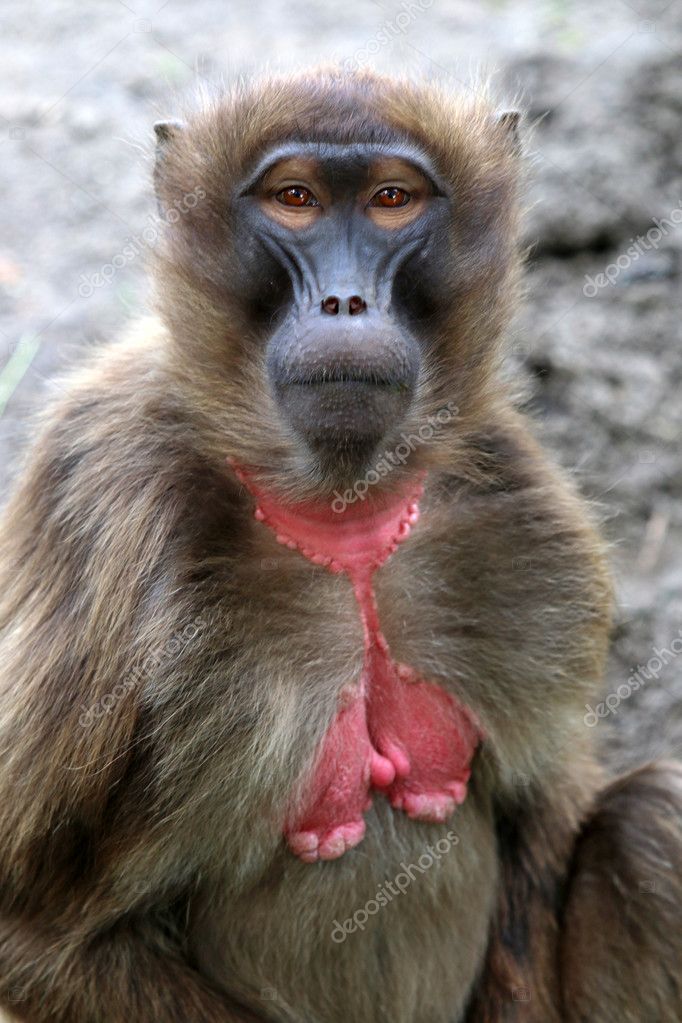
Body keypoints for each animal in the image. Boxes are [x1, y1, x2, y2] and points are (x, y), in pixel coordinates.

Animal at [0, 66, 681, 1023]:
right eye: (296, 201)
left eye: (393, 200)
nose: (345, 302)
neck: (341, 517)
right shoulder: (106, 503)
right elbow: (34, 929)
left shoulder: (514, 496)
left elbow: (546, 803)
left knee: (650, 821)